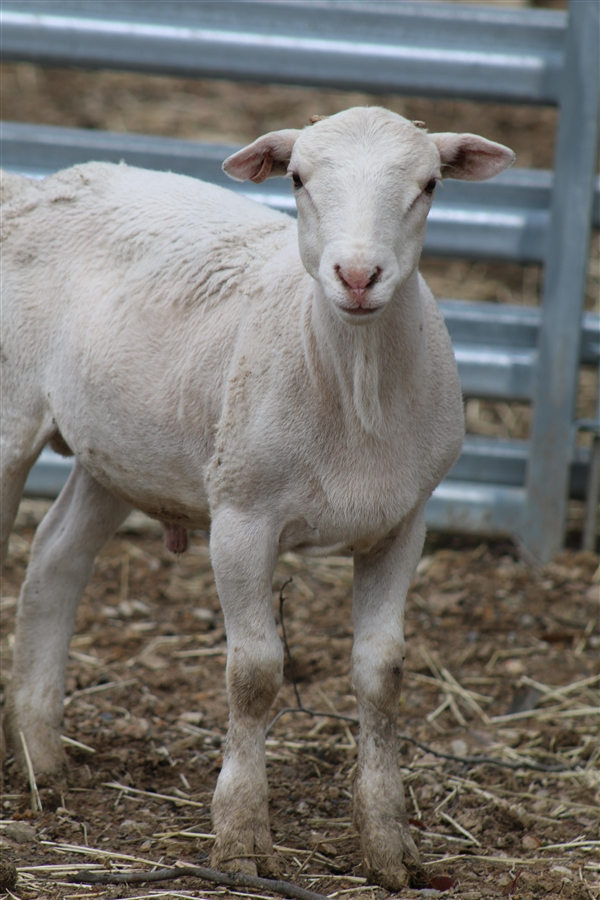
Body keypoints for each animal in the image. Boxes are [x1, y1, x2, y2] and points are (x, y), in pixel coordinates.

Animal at [1, 107, 514, 889]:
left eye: (430, 184)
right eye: (297, 178)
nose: (357, 275)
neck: (354, 385)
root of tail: (37, 184)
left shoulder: (405, 522)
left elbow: (382, 674)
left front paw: (389, 845)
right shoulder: (242, 517)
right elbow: (254, 675)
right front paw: (241, 839)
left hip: (119, 449)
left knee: (55, 558)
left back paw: (41, 756)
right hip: (11, 413)